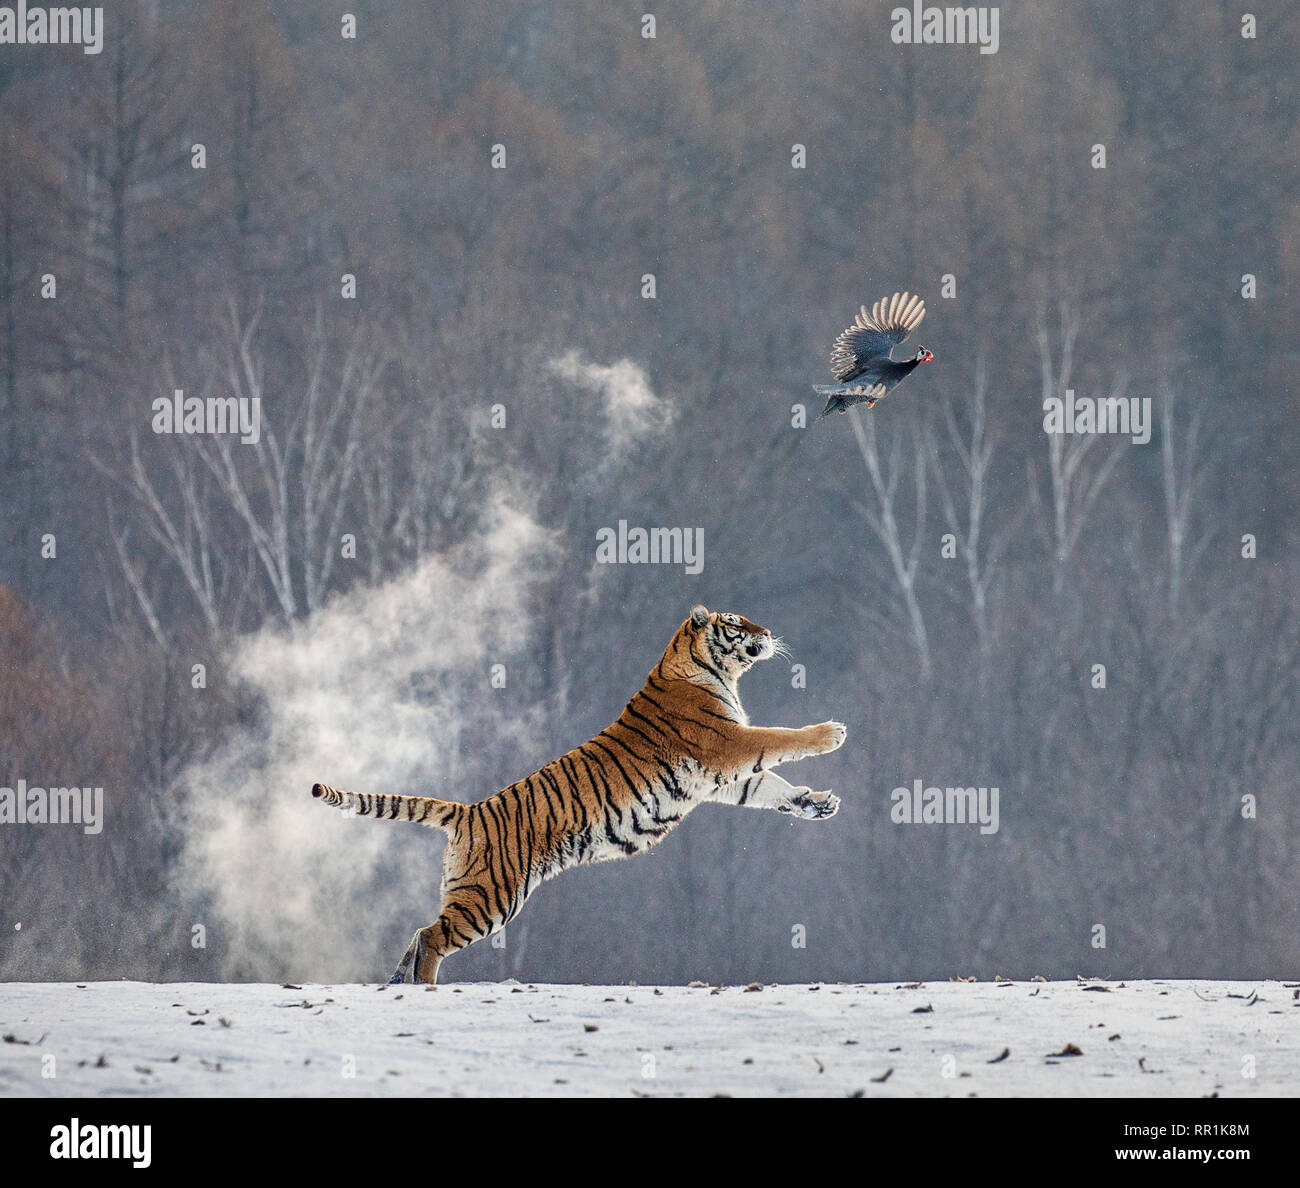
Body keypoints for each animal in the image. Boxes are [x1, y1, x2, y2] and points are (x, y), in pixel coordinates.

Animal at [310, 604, 847, 984]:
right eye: (735, 623)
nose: (769, 632)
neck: (709, 669)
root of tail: (468, 811)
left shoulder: (726, 776)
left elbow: (773, 787)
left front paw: (817, 803)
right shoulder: (729, 744)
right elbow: (780, 739)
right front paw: (830, 733)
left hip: (472, 891)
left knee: (419, 931)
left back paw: (395, 980)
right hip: (490, 896)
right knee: (431, 936)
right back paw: (423, 988)